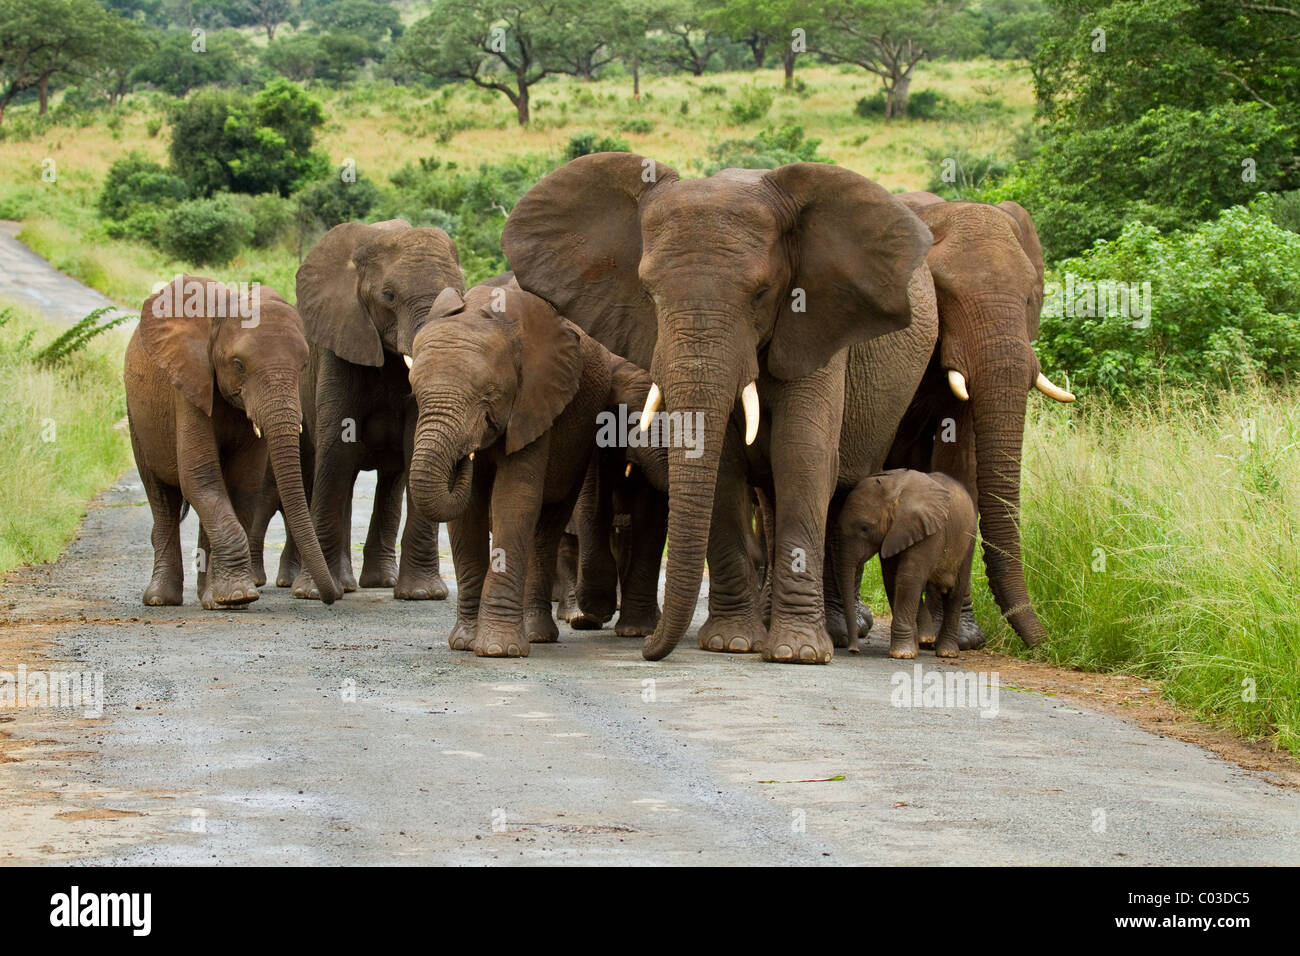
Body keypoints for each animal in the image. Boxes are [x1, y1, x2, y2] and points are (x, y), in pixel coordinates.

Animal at [123, 276, 336, 609]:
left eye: (303, 366)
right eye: (238, 365)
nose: (330, 598)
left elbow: (242, 484)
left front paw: (229, 599)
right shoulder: (189, 384)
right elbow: (199, 477)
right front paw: (238, 596)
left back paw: (205, 597)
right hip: (137, 416)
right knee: (162, 496)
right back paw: (160, 599)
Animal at [285, 218, 465, 600]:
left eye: (459, 295)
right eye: (389, 296)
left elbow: (415, 445)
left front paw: (422, 595)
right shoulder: (340, 340)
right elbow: (338, 447)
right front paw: (311, 593)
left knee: (391, 479)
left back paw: (378, 582)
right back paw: (344, 584)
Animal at [405, 279, 665, 657]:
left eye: (489, 393)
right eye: (415, 392)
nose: (466, 455)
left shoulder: (536, 400)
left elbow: (515, 499)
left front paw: (499, 651)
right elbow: (466, 513)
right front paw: (465, 643)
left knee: (548, 524)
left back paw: (537, 635)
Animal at [502, 154, 937, 664]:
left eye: (761, 294)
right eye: (647, 292)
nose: (646, 648)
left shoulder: (817, 321)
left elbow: (802, 454)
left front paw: (797, 653)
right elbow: (726, 467)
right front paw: (733, 643)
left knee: (839, 488)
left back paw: (828, 630)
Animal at [836, 469, 976, 659]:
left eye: (864, 529)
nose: (853, 650)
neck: (894, 490)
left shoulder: (931, 530)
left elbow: (909, 577)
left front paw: (902, 654)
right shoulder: (893, 535)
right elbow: (893, 578)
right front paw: (919, 643)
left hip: (968, 540)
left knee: (955, 593)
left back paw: (947, 652)